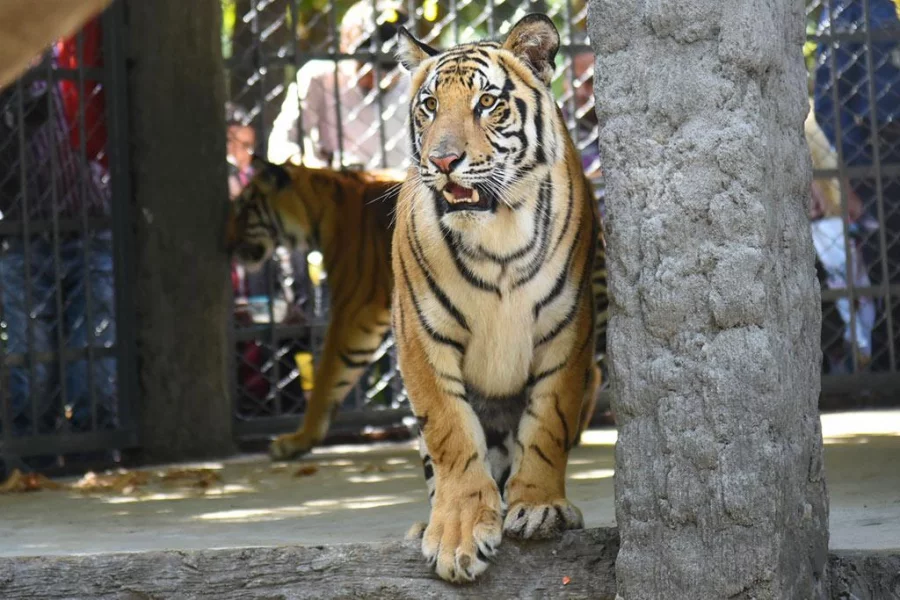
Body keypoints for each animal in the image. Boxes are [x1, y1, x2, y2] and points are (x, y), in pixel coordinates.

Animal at [391, 14, 603, 583]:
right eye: (428, 105)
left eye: (486, 102)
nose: (443, 160)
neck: (497, 235)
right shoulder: (421, 337)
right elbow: (451, 434)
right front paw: (457, 536)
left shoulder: (568, 331)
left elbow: (548, 424)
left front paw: (540, 506)